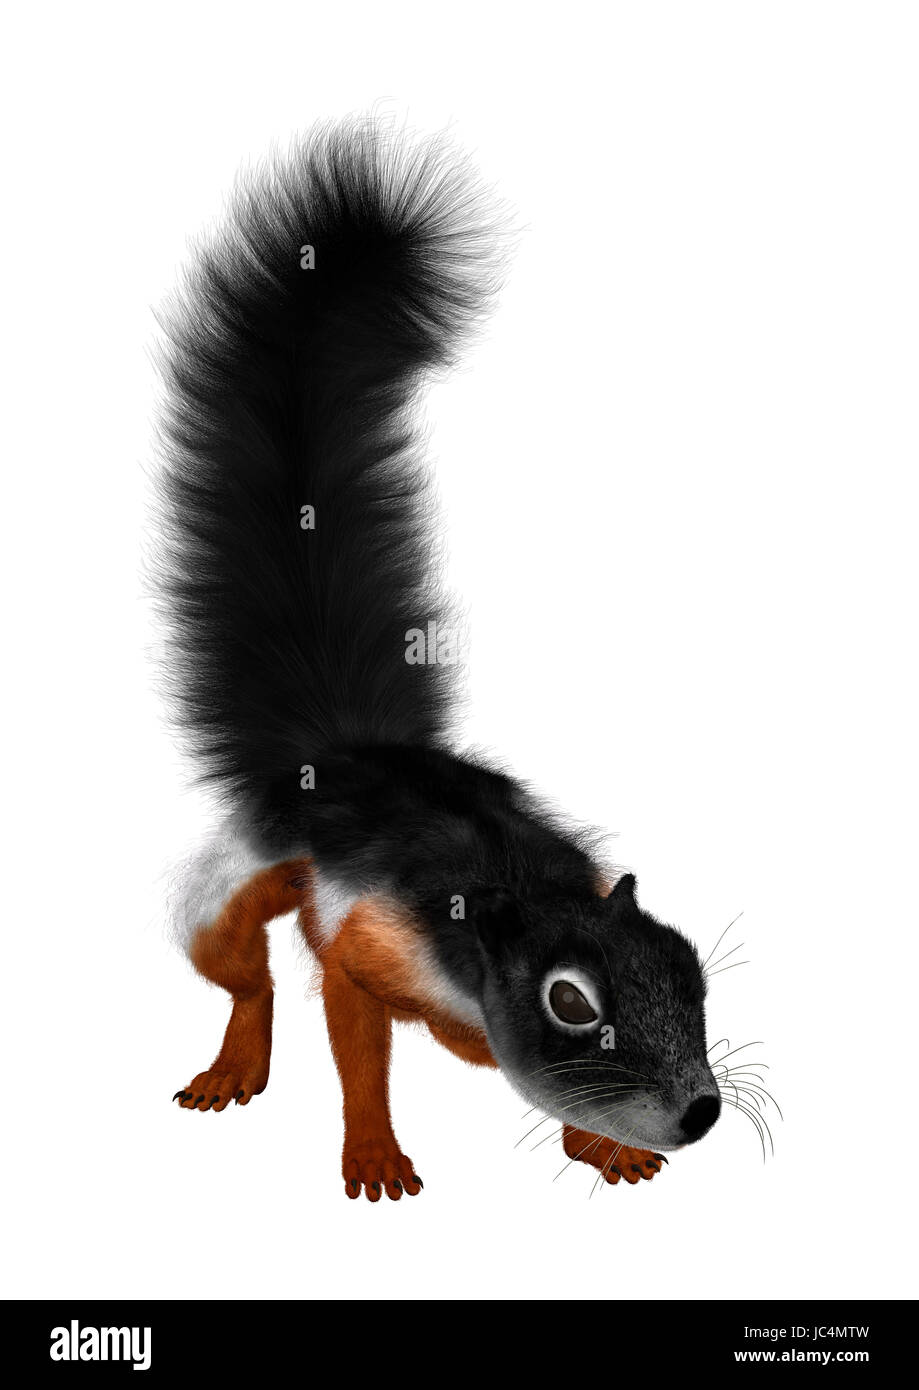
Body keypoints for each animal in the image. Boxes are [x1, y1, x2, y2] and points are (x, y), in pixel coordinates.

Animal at [157, 117, 723, 1201]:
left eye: (692, 972)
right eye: (571, 1003)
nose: (702, 1113)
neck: (512, 901)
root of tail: (343, 756)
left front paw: (604, 1145)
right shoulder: (368, 945)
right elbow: (355, 1041)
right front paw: (374, 1154)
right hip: (235, 881)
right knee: (240, 970)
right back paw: (234, 1060)